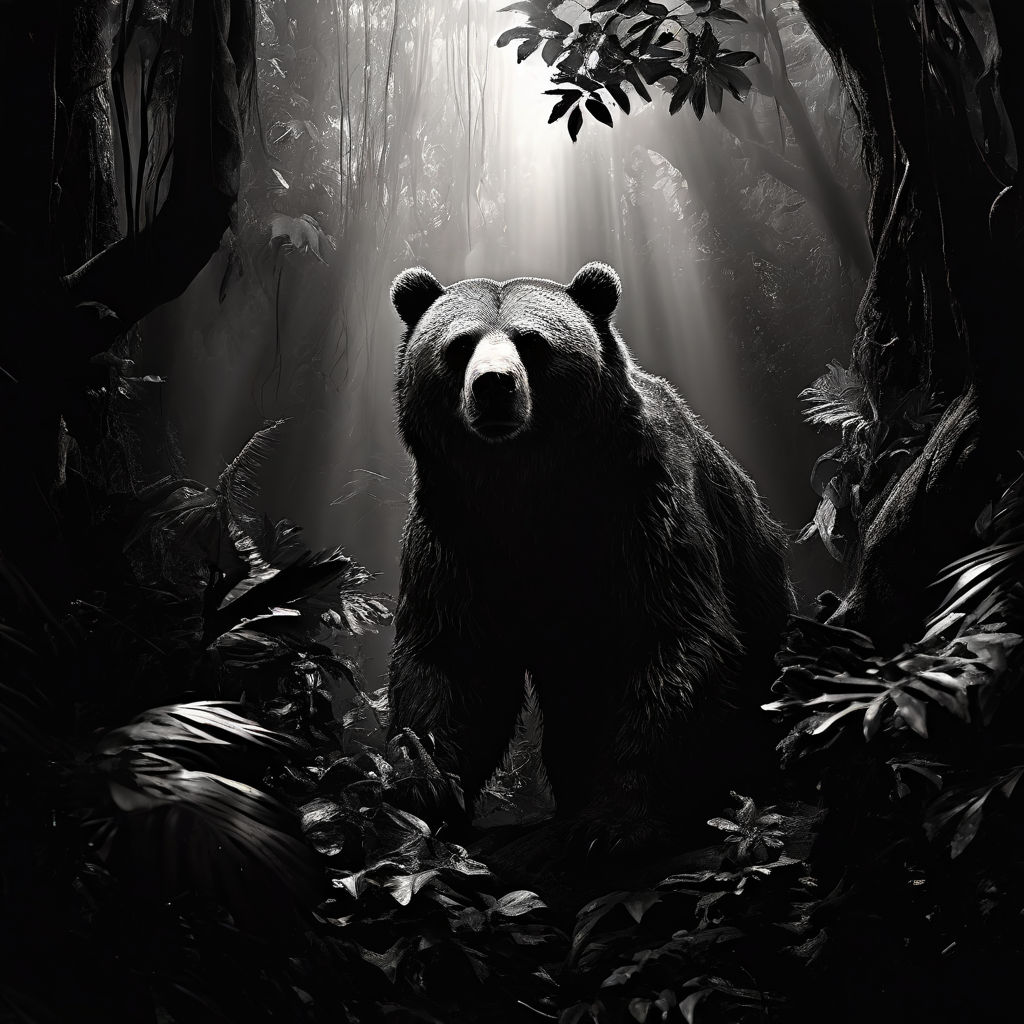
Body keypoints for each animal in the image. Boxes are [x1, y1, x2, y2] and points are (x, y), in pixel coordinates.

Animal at [386, 262, 793, 855]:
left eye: (532, 343)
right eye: (459, 345)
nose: (493, 385)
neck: (527, 485)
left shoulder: (636, 506)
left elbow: (668, 638)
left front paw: (610, 822)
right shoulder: (459, 530)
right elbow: (452, 659)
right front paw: (425, 793)